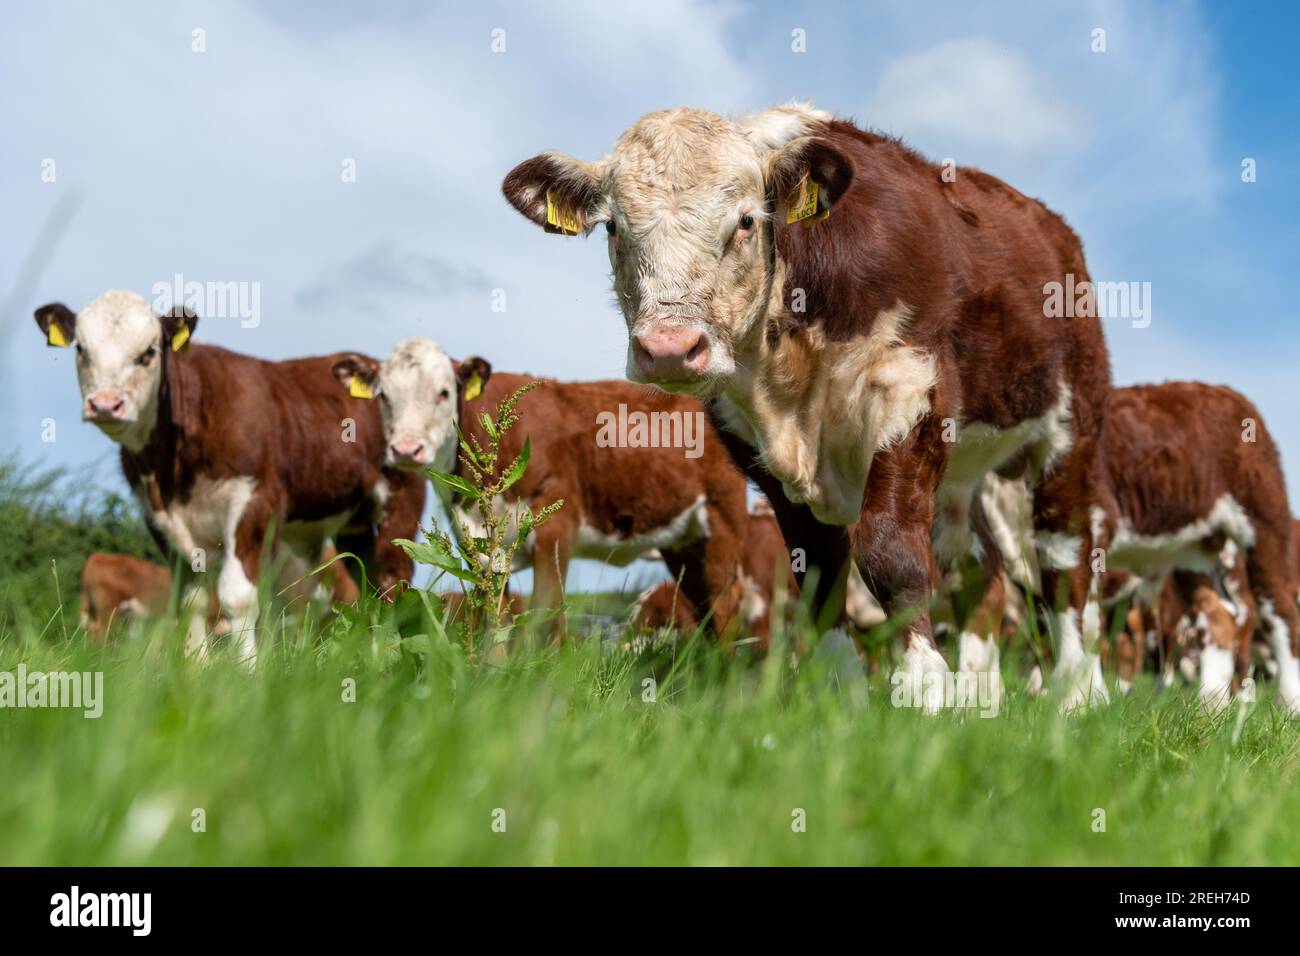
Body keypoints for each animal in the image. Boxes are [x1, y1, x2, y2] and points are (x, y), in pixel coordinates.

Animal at [34, 291, 424, 666]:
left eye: (148, 352)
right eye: (81, 350)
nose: (105, 404)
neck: (172, 472)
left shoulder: (254, 504)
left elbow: (237, 597)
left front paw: (247, 669)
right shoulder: (158, 518)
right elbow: (191, 600)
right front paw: (196, 668)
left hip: (401, 497)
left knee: (393, 579)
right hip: (353, 525)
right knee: (365, 581)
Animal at [330, 337, 755, 640]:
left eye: (444, 393)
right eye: (384, 396)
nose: (405, 449)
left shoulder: (556, 530)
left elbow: (547, 618)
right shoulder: (479, 548)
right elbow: (493, 621)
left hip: (721, 521)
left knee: (727, 607)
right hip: (683, 543)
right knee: (704, 611)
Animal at [504, 104, 1113, 712]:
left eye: (746, 221)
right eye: (612, 227)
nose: (670, 348)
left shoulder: (910, 392)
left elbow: (891, 552)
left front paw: (924, 690)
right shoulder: (755, 445)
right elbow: (819, 572)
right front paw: (844, 696)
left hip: (1069, 429)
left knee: (1064, 557)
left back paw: (1077, 691)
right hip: (966, 471)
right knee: (977, 566)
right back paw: (981, 696)